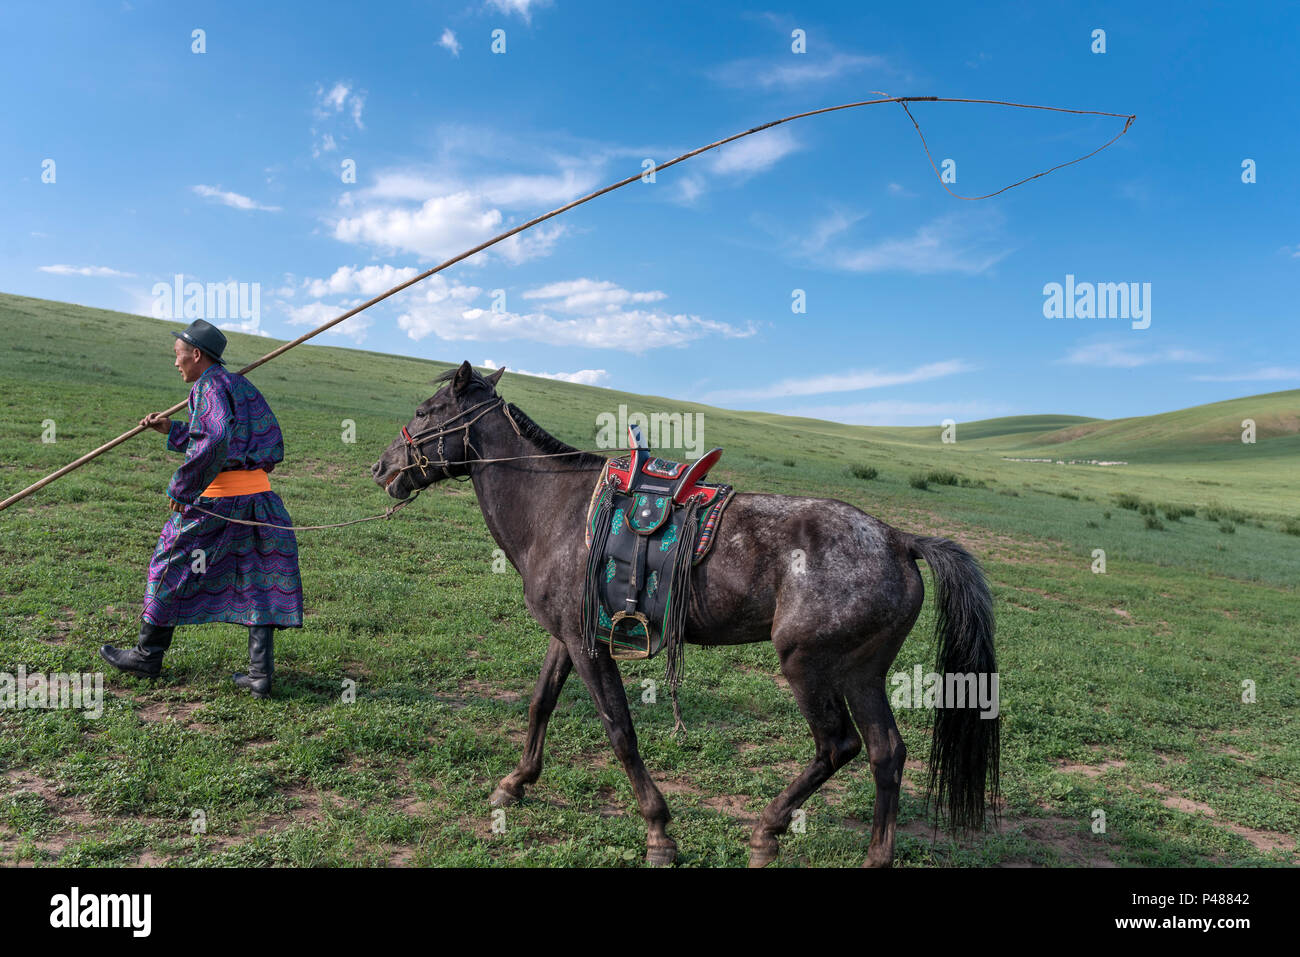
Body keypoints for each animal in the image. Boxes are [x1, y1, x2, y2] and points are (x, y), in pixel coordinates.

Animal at [370, 361, 1000, 867]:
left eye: (425, 411)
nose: (382, 467)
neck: (556, 508)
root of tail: (899, 539)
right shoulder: (569, 636)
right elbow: (541, 701)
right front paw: (515, 784)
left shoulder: (590, 644)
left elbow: (620, 731)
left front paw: (659, 833)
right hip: (861, 671)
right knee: (885, 752)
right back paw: (873, 856)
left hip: (808, 665)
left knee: (837, 745)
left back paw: (767, 832)